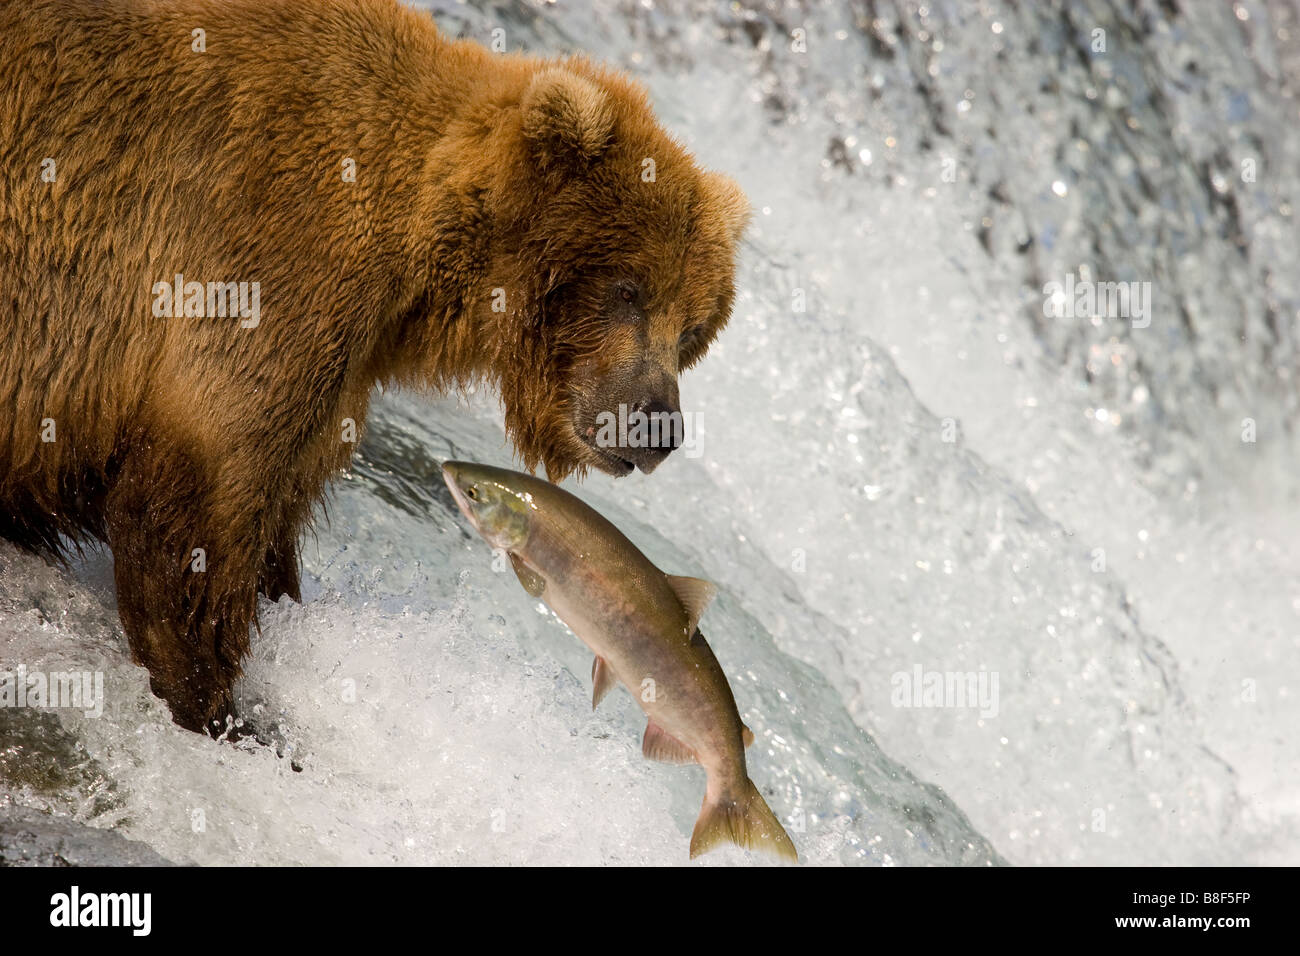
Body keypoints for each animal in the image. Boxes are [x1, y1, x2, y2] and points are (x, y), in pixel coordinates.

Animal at [0, 0, 748, 733]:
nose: (657, 425)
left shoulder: (339, 367)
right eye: (629, 290)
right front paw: (217, 708)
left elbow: (274, 509)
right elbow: (200, 502)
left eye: (692, 329)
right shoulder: (265, 260)